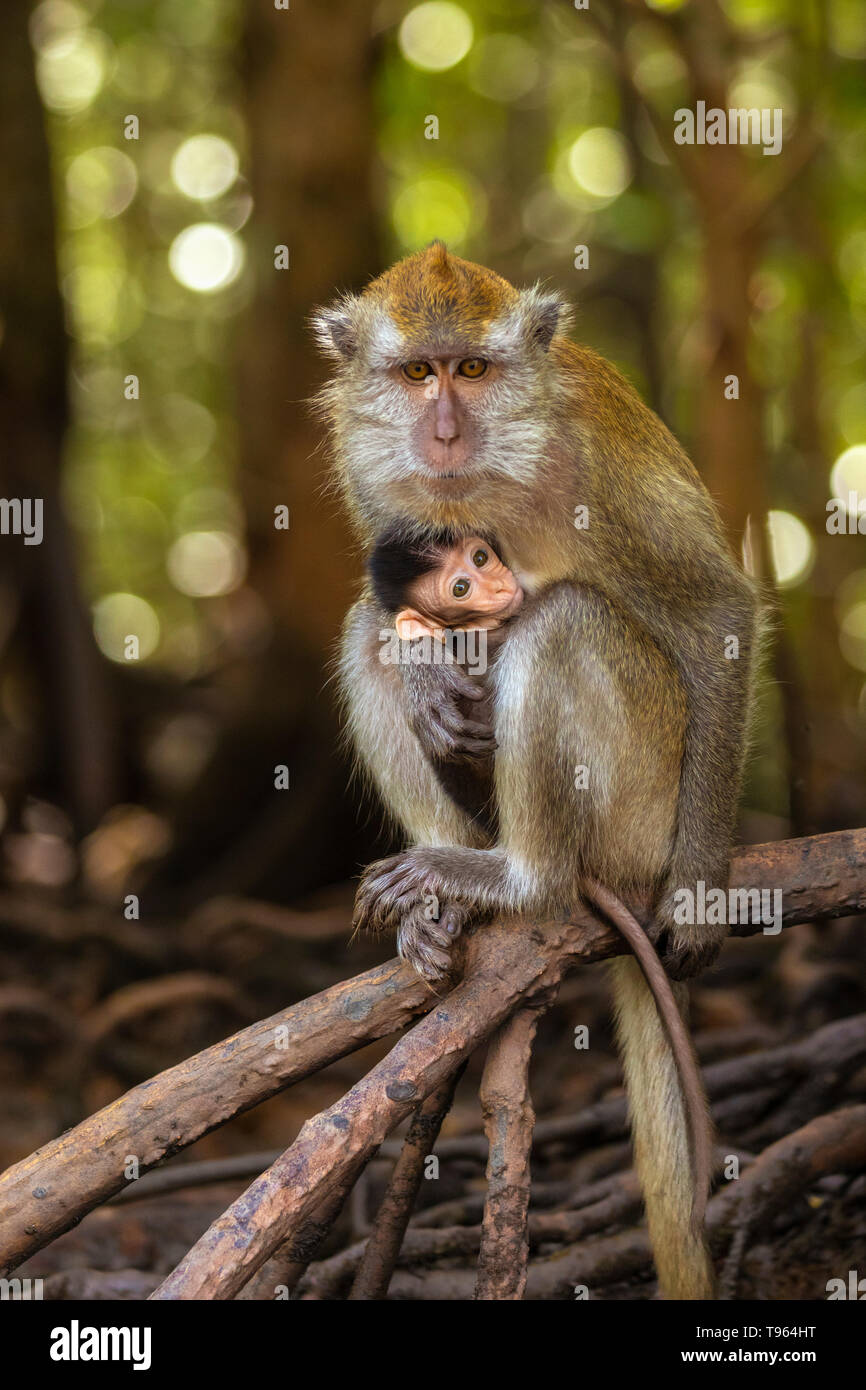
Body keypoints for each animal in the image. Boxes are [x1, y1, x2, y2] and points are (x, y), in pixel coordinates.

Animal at [313, 241, 760, 1300]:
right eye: (416, 373)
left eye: (472, 369)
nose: (442, 429)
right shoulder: (370, 468)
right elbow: (382, 598)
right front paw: (425, 664)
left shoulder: (600, 454)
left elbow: (714, 612)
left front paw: (699, 894)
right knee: (360, 632)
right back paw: (445, 895)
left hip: (644, 796)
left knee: (567, 623)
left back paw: (525, 880)